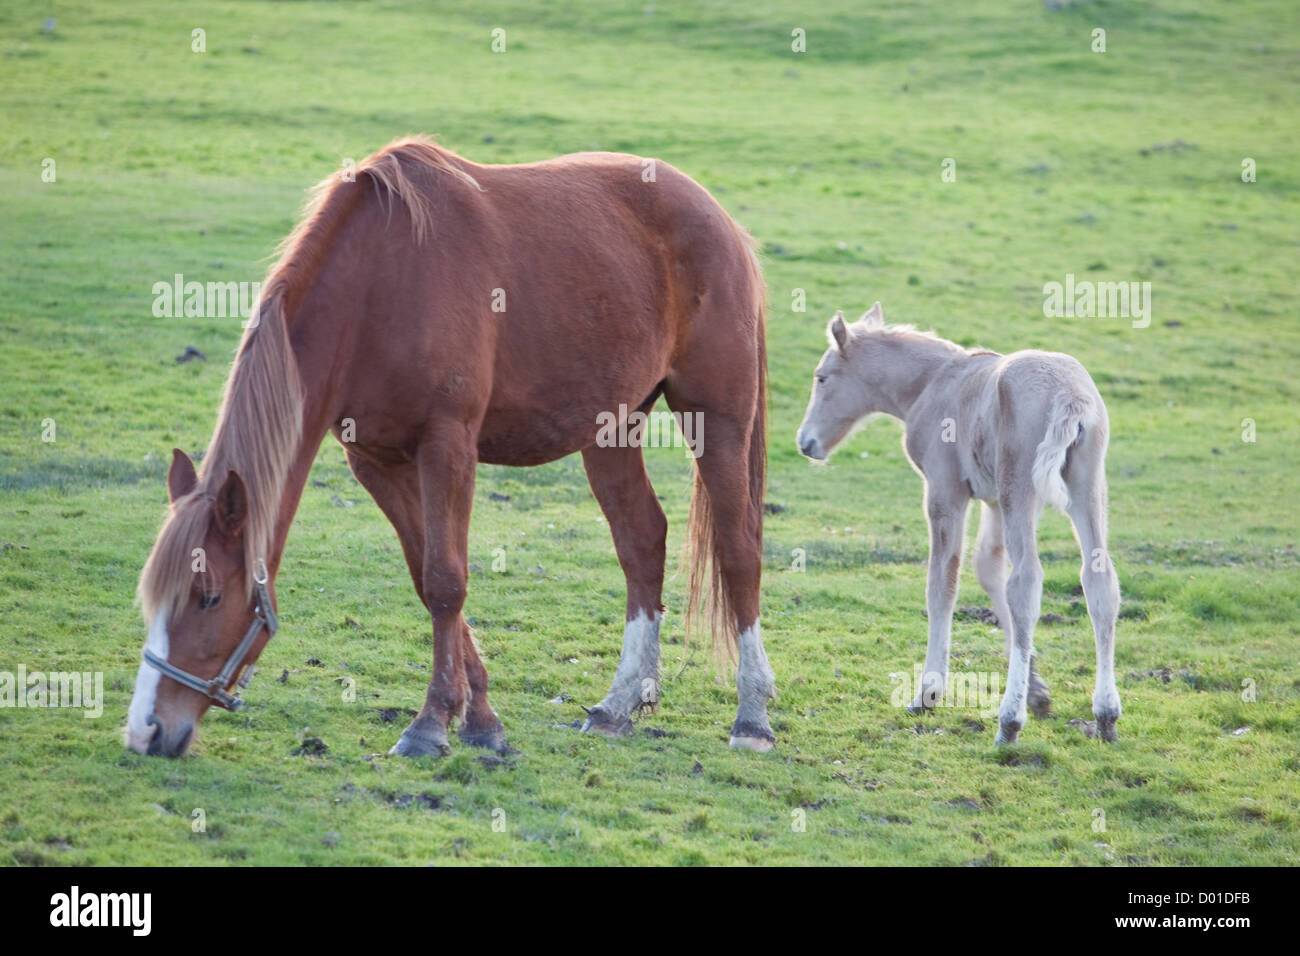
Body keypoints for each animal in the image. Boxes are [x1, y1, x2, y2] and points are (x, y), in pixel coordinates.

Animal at [128, 136, 775, 758]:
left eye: (208, 597)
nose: (146, 731)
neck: (377, 285)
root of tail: (721, 220)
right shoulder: (376, 461)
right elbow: (426, 578)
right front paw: (479, 717)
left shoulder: (447, 445)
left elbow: (446, 581)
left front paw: (431, 724)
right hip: (611, 429)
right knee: (642, 542)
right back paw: (618, 705)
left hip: (715, 419)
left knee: (739, 549)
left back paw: (752, 716)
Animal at [795, 303, 1121, 744]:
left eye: (822, 377)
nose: (806, 442)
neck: (933, 383)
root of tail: (1069, 396)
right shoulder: (994, 500)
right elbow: (987, 567)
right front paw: (1037, 691)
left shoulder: (945, 490)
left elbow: (942, 585)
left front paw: (928, 691)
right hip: (1084, 486)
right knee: (1098, 579)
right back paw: (1105, 715)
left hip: (1021, 485)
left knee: (1026, 583)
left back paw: (1009, 722)